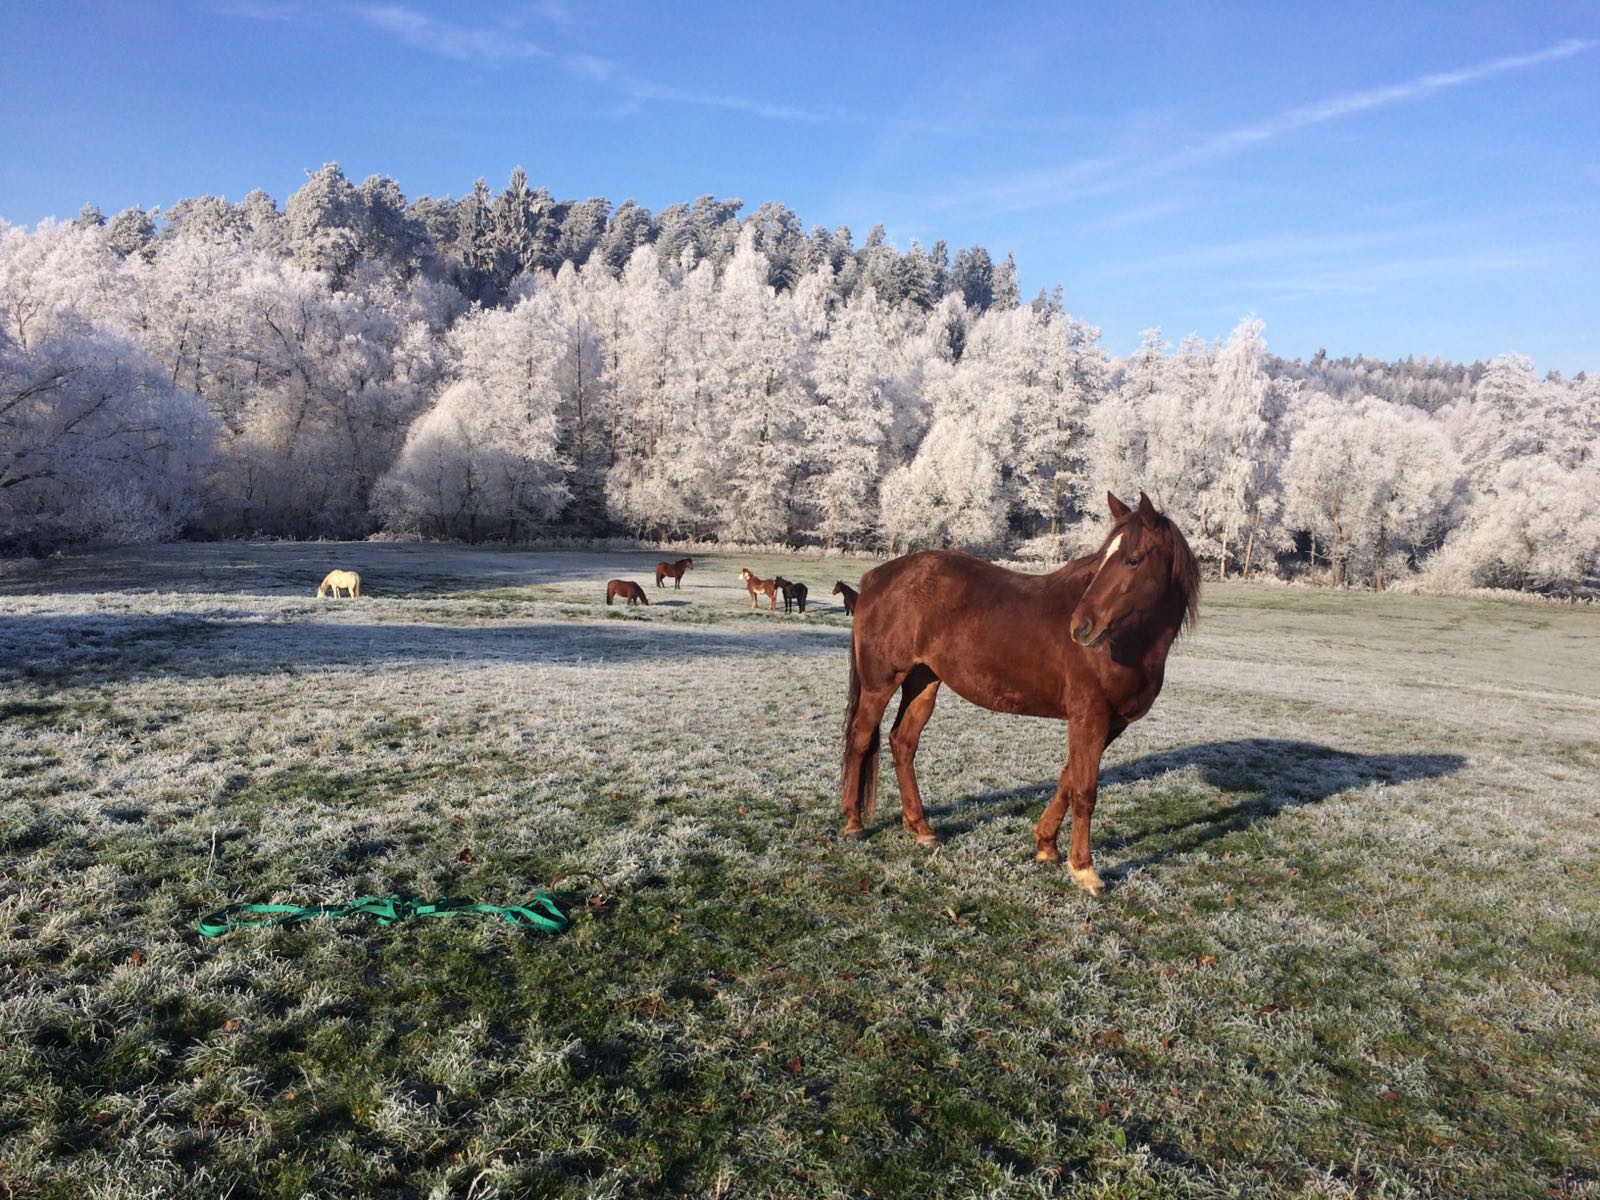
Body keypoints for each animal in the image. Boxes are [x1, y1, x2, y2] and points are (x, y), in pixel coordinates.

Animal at [840, 492, 1199, 896]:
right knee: (860, 738)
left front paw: (1046, 846)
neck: (1129, 643)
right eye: (1105, 555)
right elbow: (1085, 790)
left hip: (923, 681)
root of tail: (877, 577)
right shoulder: (1090, 715)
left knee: (902, 742)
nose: (1080, 627)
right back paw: (853, 824)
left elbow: (1068, 778)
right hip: (880, 684)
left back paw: (921, 828)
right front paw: (1084, 870)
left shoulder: (1110, 722)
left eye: (1132, 559)